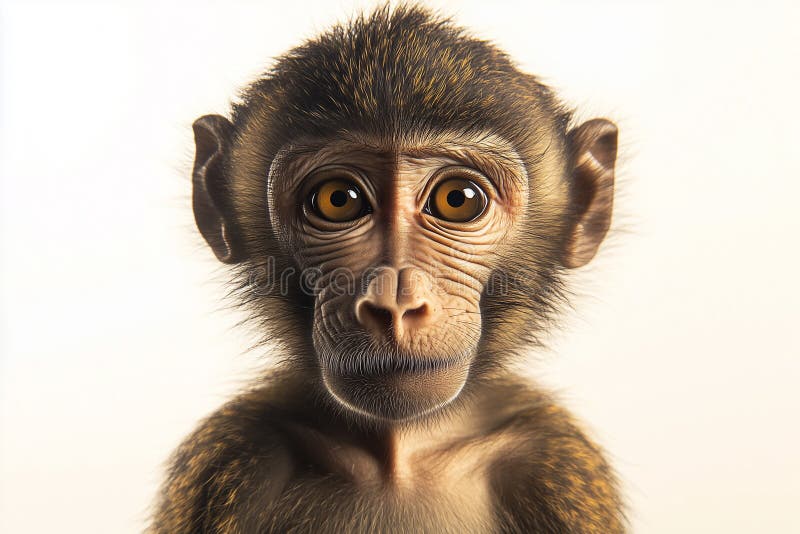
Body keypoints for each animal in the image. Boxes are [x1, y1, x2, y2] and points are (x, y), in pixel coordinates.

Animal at [151, 5, 624, 533]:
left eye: (458, 199)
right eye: (338, 199)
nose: (395, 302)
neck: (400, 454)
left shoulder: (559, 462)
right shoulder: (227, 456)